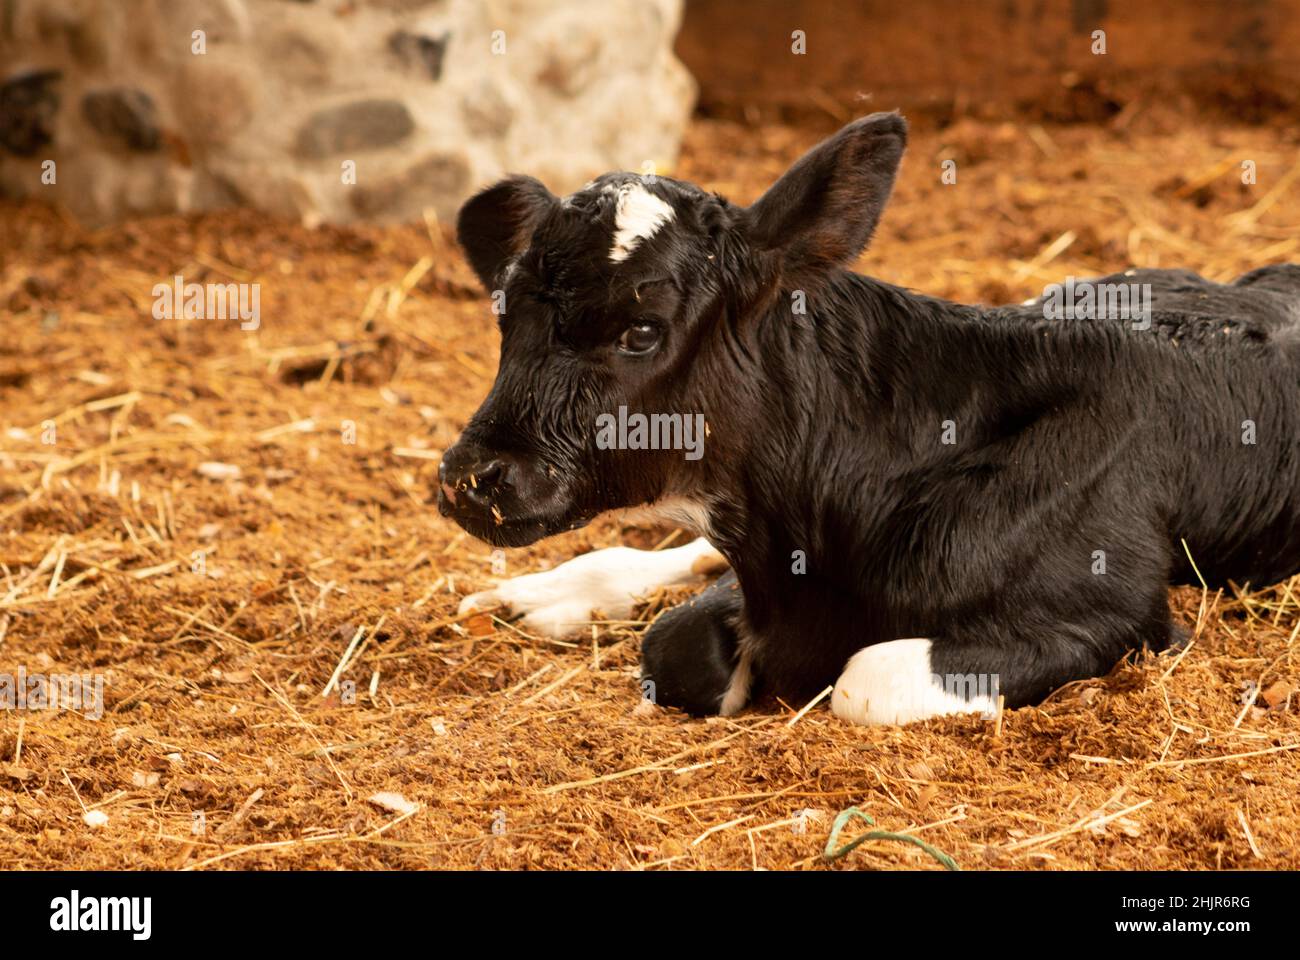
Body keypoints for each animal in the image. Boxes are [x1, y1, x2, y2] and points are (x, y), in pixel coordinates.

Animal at [437, 112, 1300, 725]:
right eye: (505, 315)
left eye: (641, 330)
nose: (469, 476)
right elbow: (675, 643)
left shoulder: (1115, 616)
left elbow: (864, 677)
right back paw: (541, 595)